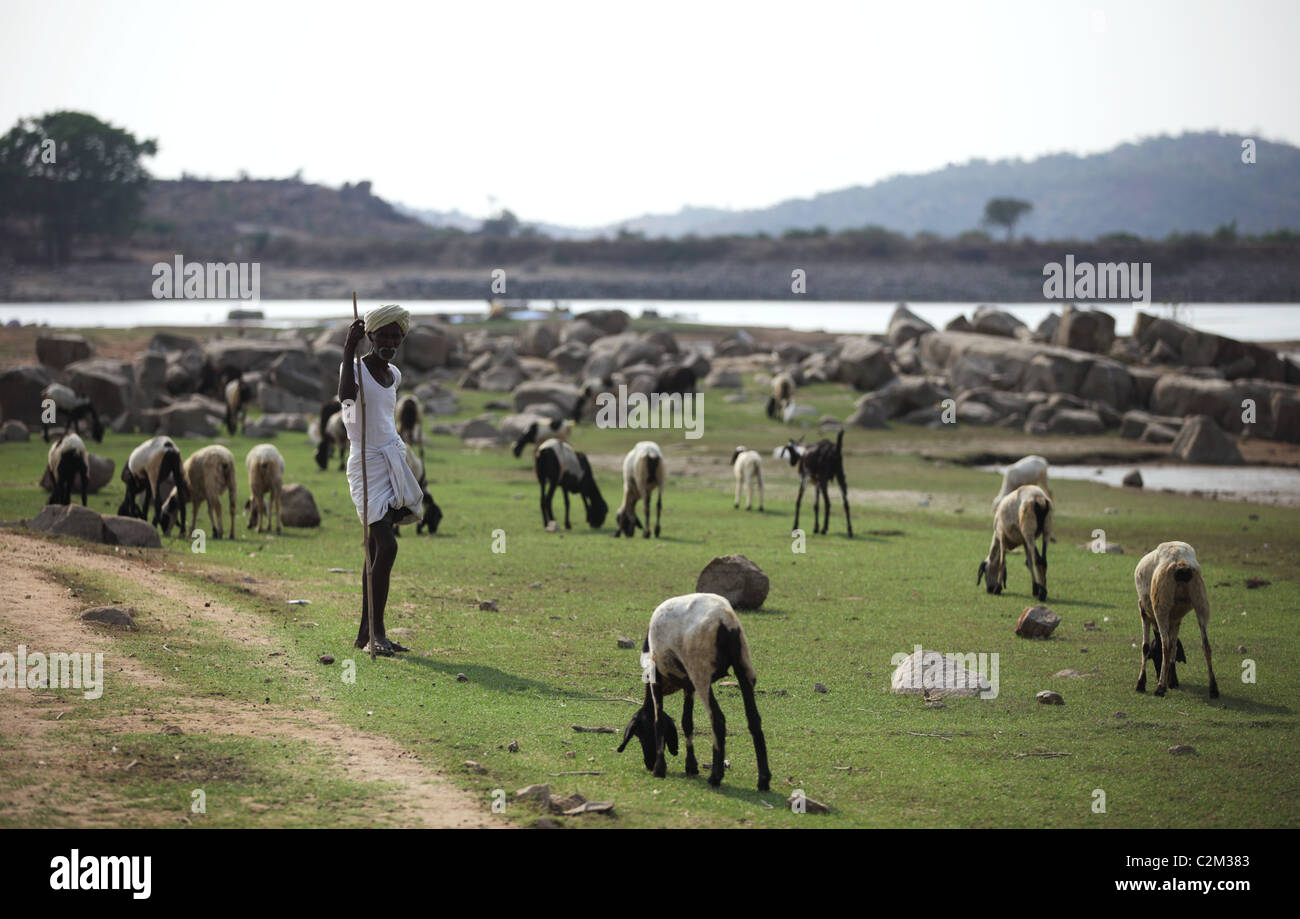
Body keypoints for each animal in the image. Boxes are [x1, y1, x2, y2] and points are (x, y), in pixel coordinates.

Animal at [617, 592, 771, 791]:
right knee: (754, 719)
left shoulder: (655, 679)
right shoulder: (688, 685)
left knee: (718, 719)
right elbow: (687, 722)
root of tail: (724, 619)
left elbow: (658, 721)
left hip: (700, 671)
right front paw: (691, 766)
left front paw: (659, 769)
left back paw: (715, 777)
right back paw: (763, 780)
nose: (649, 763)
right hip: (743, 664)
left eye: (640, 734)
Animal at [1134, 541, 1219, 699]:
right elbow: (1174, 647)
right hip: (1201, 602)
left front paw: (1141, 683)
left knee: (1165, 645)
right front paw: (1172, 680)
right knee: (1206, 645)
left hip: (1161, 606)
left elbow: (1146, 647)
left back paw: (1160, 688)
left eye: (1155, 658)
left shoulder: (1144, 612)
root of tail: (1180, 560)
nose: (1157, 675)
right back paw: (1214, 689)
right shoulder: (1176, 619)